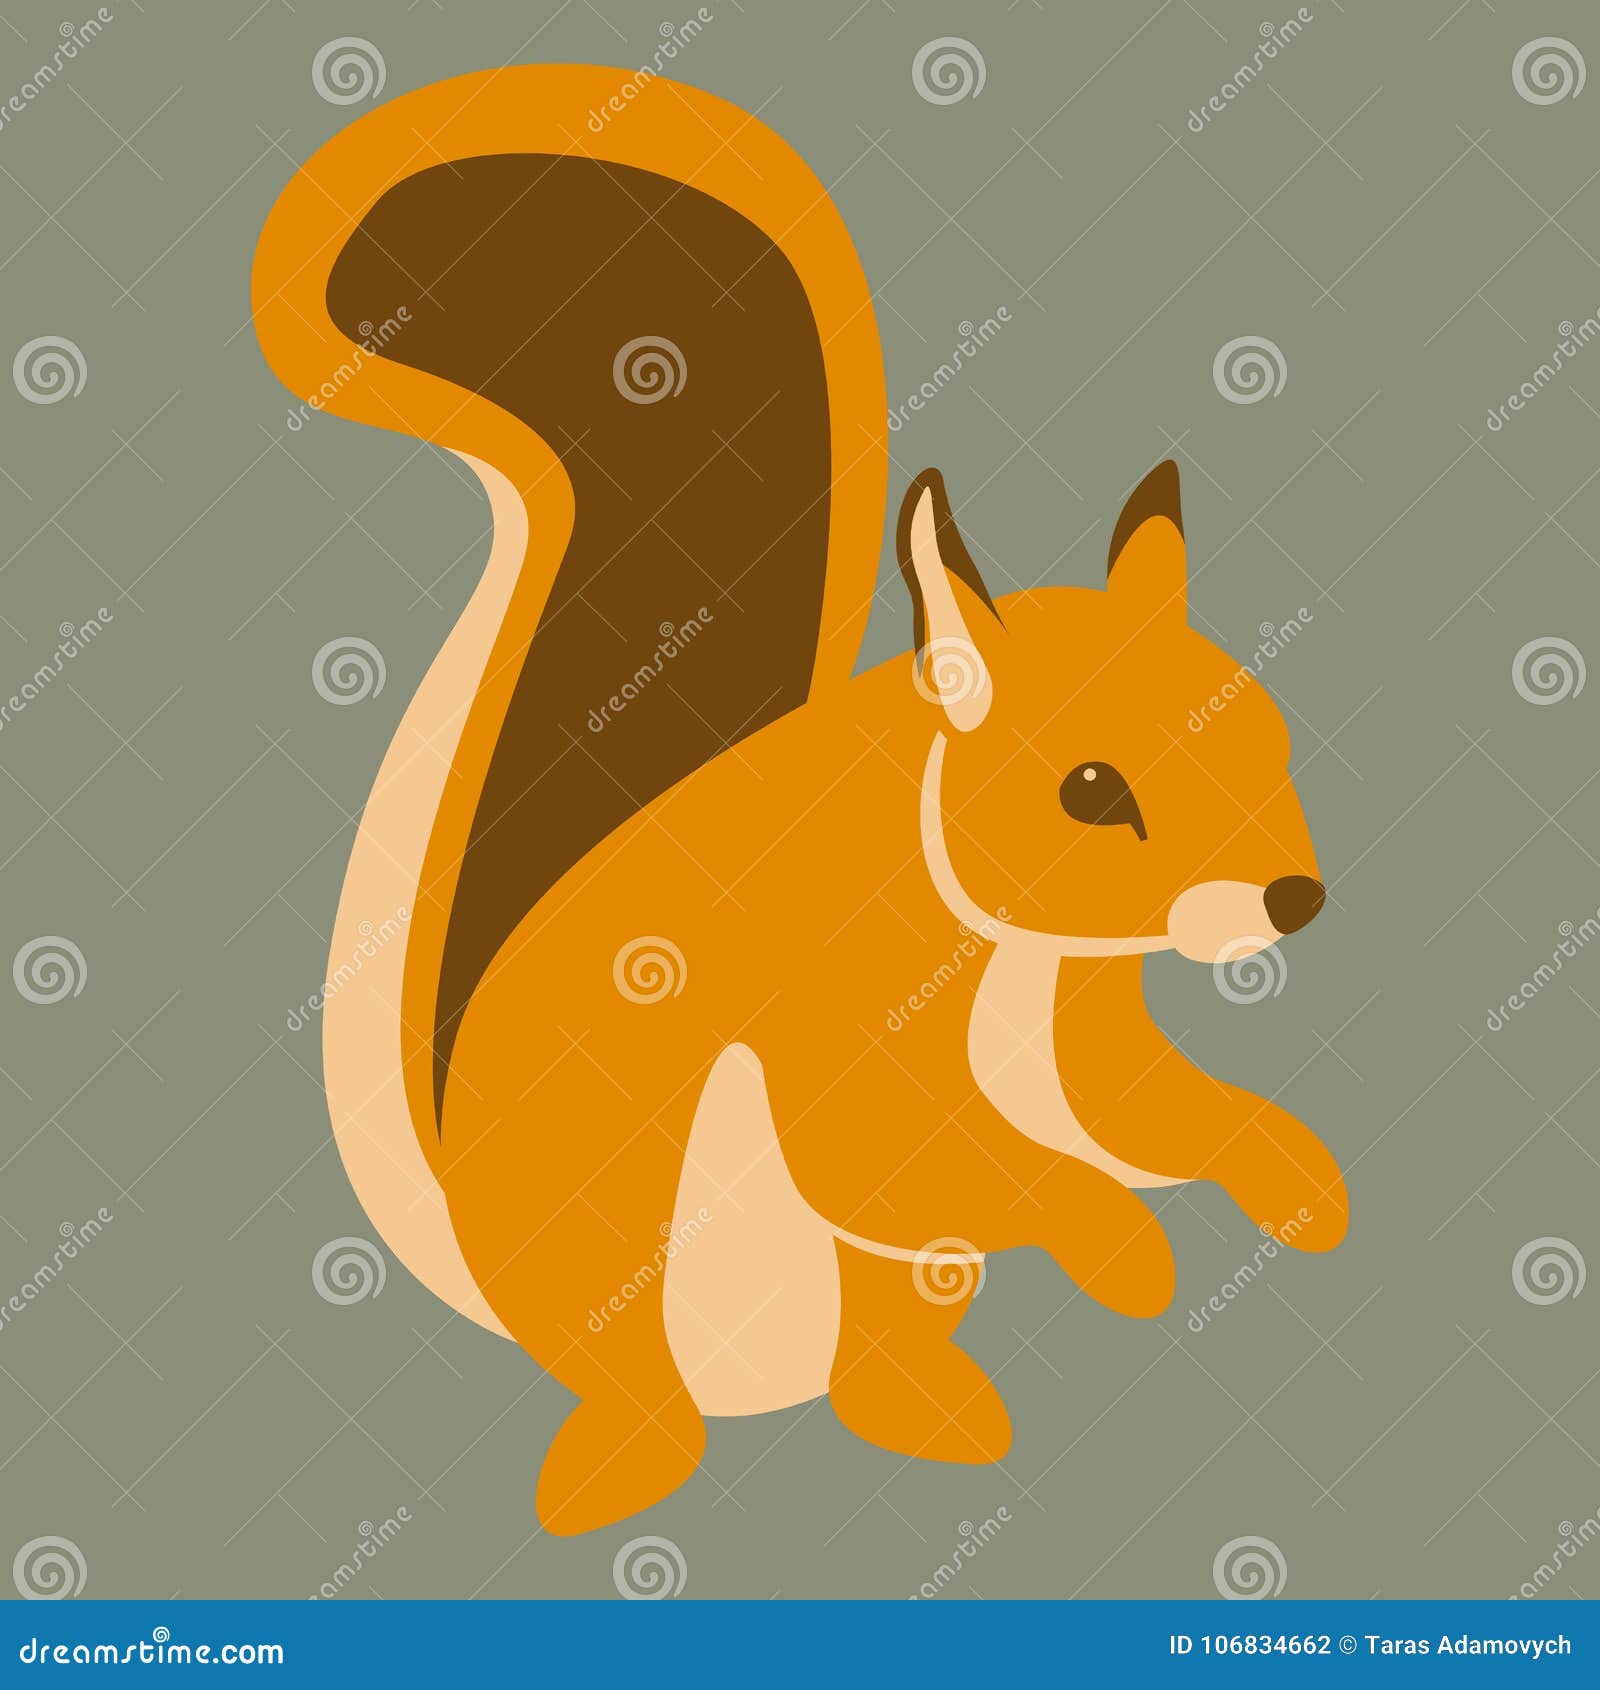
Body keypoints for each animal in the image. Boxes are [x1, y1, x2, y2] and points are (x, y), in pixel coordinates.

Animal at [254, 65, 1347, 1538]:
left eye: (1270, 733)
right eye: (1091, 788)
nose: (1294, 900)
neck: (1009, 941)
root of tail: (740, 1388)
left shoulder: (1082, 1042)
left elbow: (1148, 1114)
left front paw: (1293, 1177)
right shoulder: (841, 1029)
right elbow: (925, 1152)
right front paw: (1120, 1244)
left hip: (879, 1278)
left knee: (881, 1331)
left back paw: (926, 1409)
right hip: (612, 1226)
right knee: (635, 1373)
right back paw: (620, 1466)